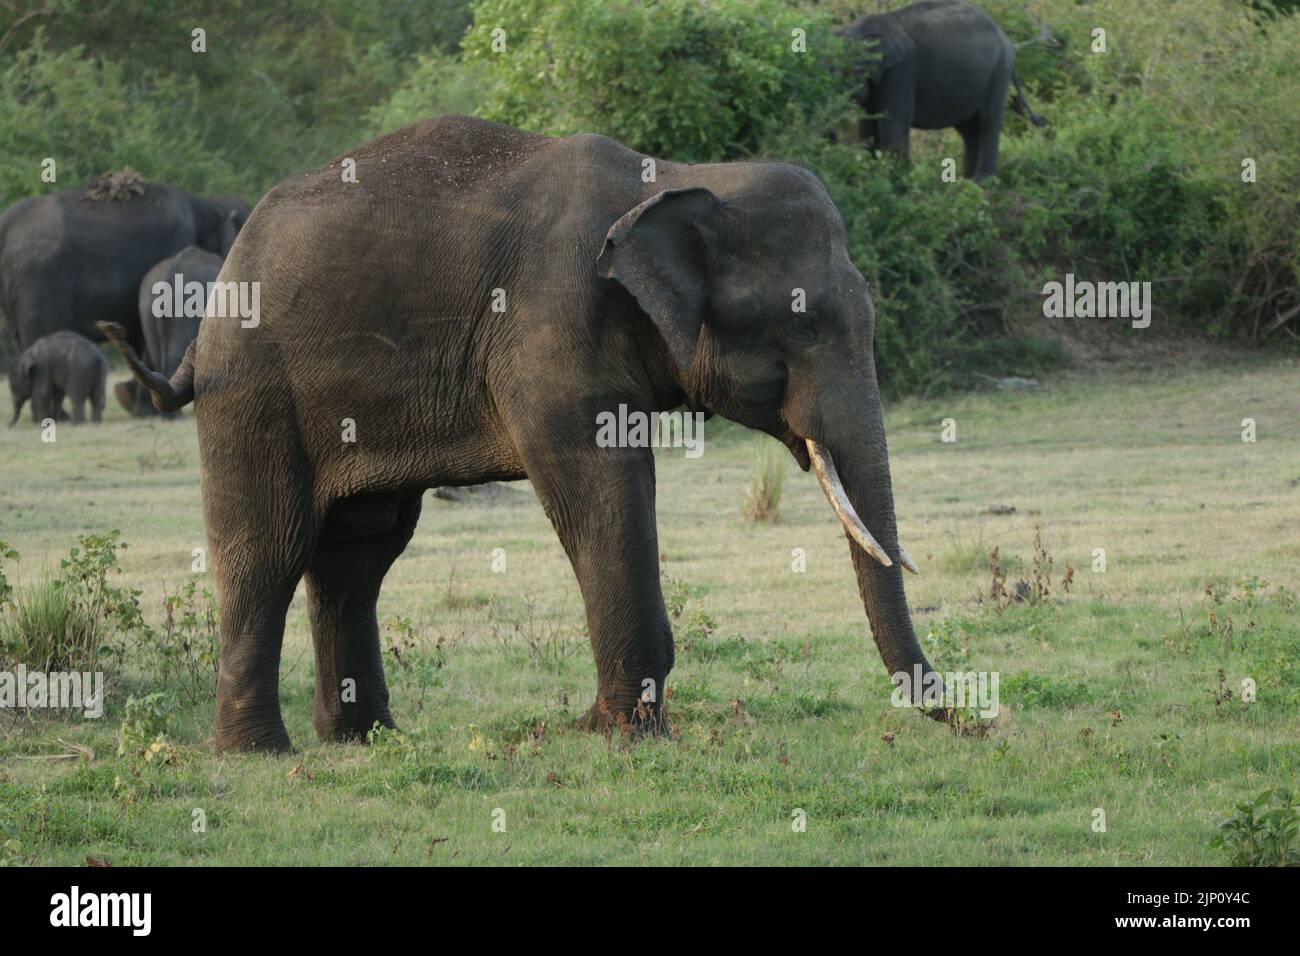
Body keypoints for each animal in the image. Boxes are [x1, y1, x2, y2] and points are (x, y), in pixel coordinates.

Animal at [840, 0, 1047, 180]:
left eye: (856, 69)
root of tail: (1009, 42)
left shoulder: (901, 70)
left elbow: (893, 124)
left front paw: (898, 187)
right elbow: (867, 125)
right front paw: (867, 178)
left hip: (999, 71)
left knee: (987, 120)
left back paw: (982, 182)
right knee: (969, 130)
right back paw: (966, 181)